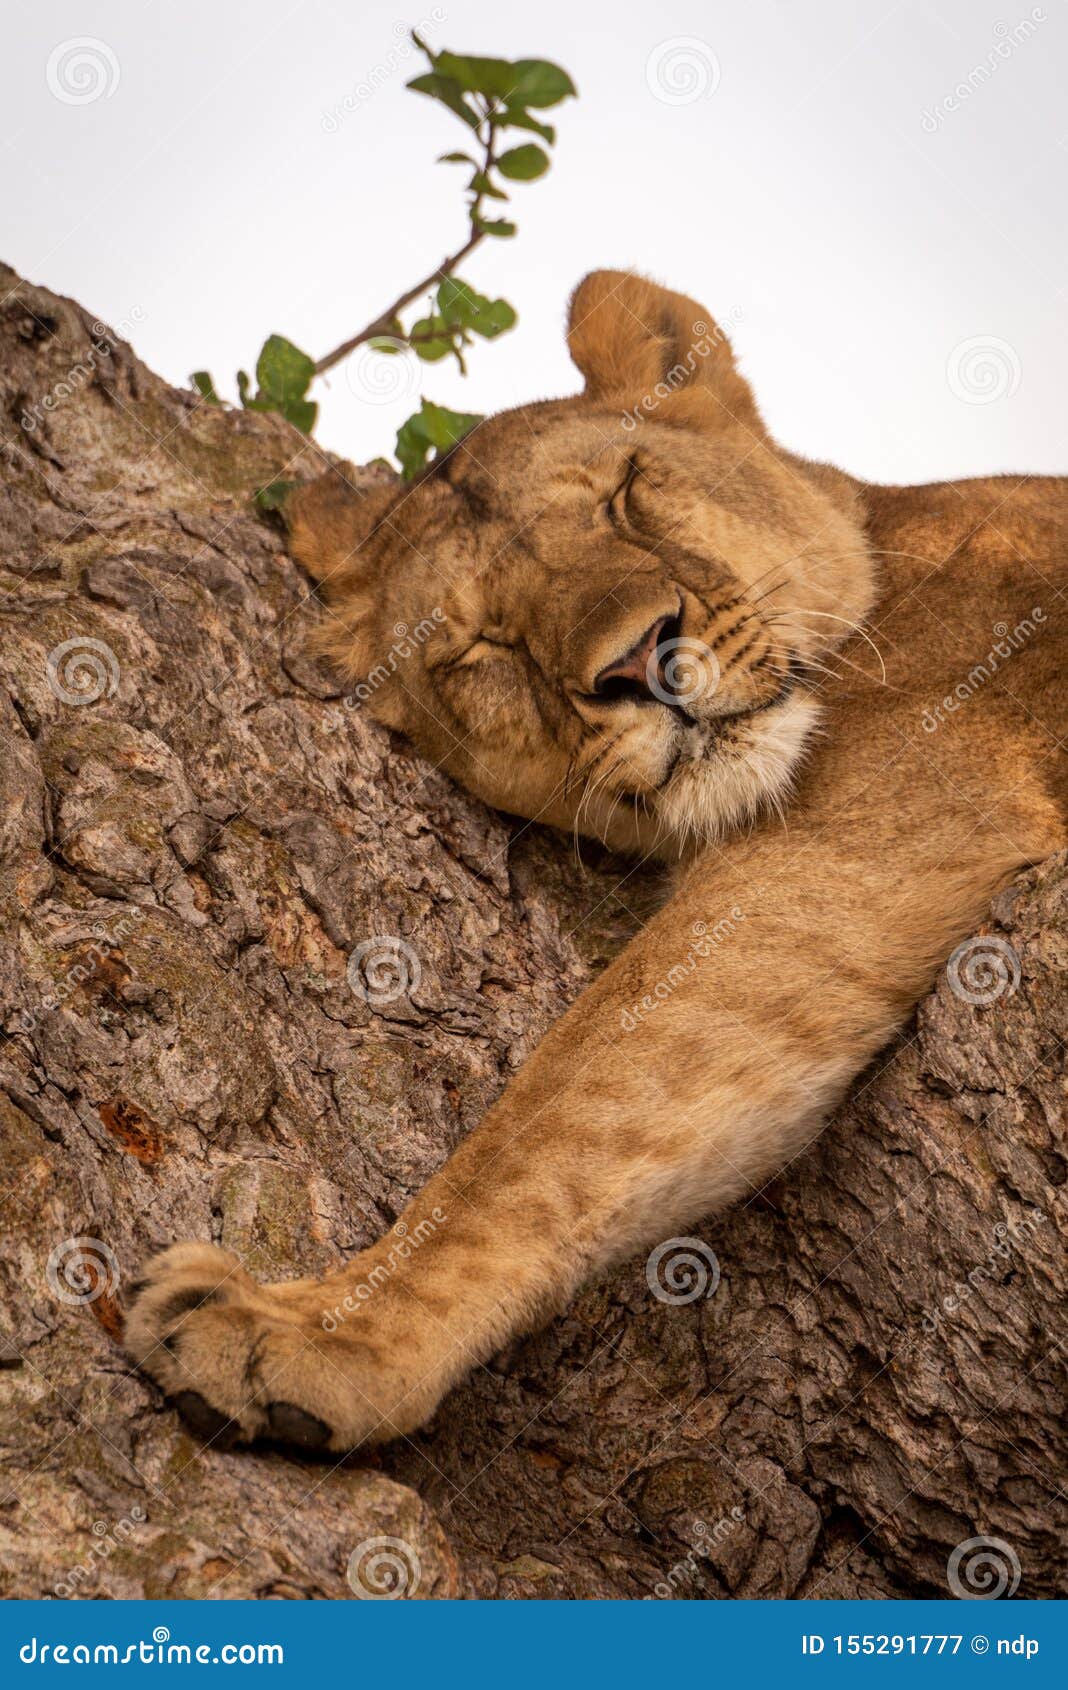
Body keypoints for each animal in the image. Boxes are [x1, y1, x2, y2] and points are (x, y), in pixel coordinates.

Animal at [125, 270, 1067, 1453]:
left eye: (626, 493)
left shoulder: (854, 836)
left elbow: (548, 1127)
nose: (635, 661)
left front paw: (315, 1333)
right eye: (483, 647)